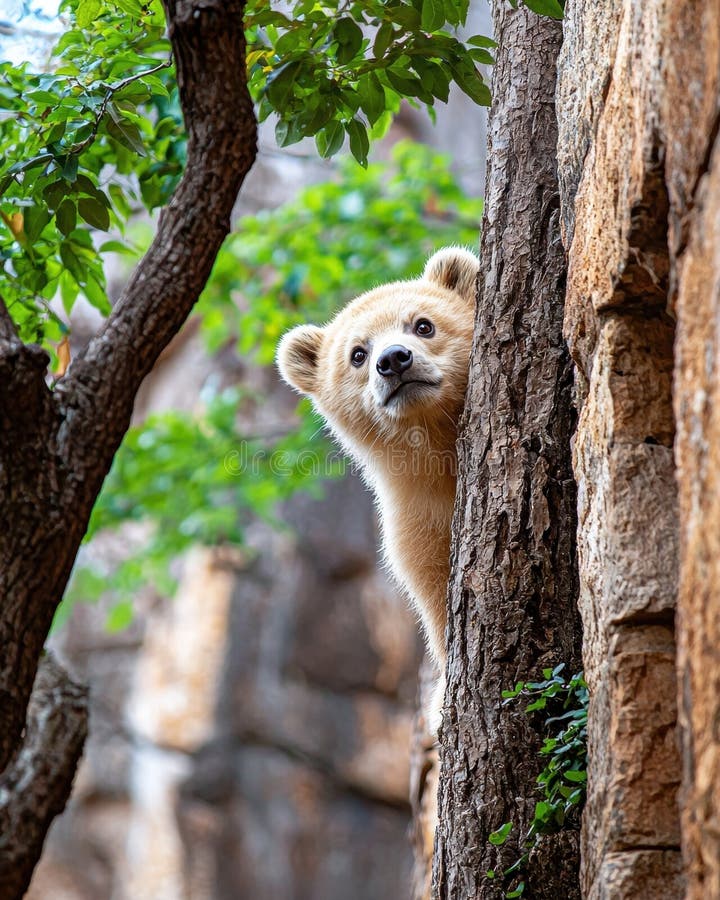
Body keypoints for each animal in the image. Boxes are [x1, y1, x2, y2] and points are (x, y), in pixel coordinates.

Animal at [276, 247, 479, 730]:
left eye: (422, 324)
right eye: (357, 354)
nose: (394, 360)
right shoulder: (417, 517)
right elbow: (433, 586)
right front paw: (442, 703)